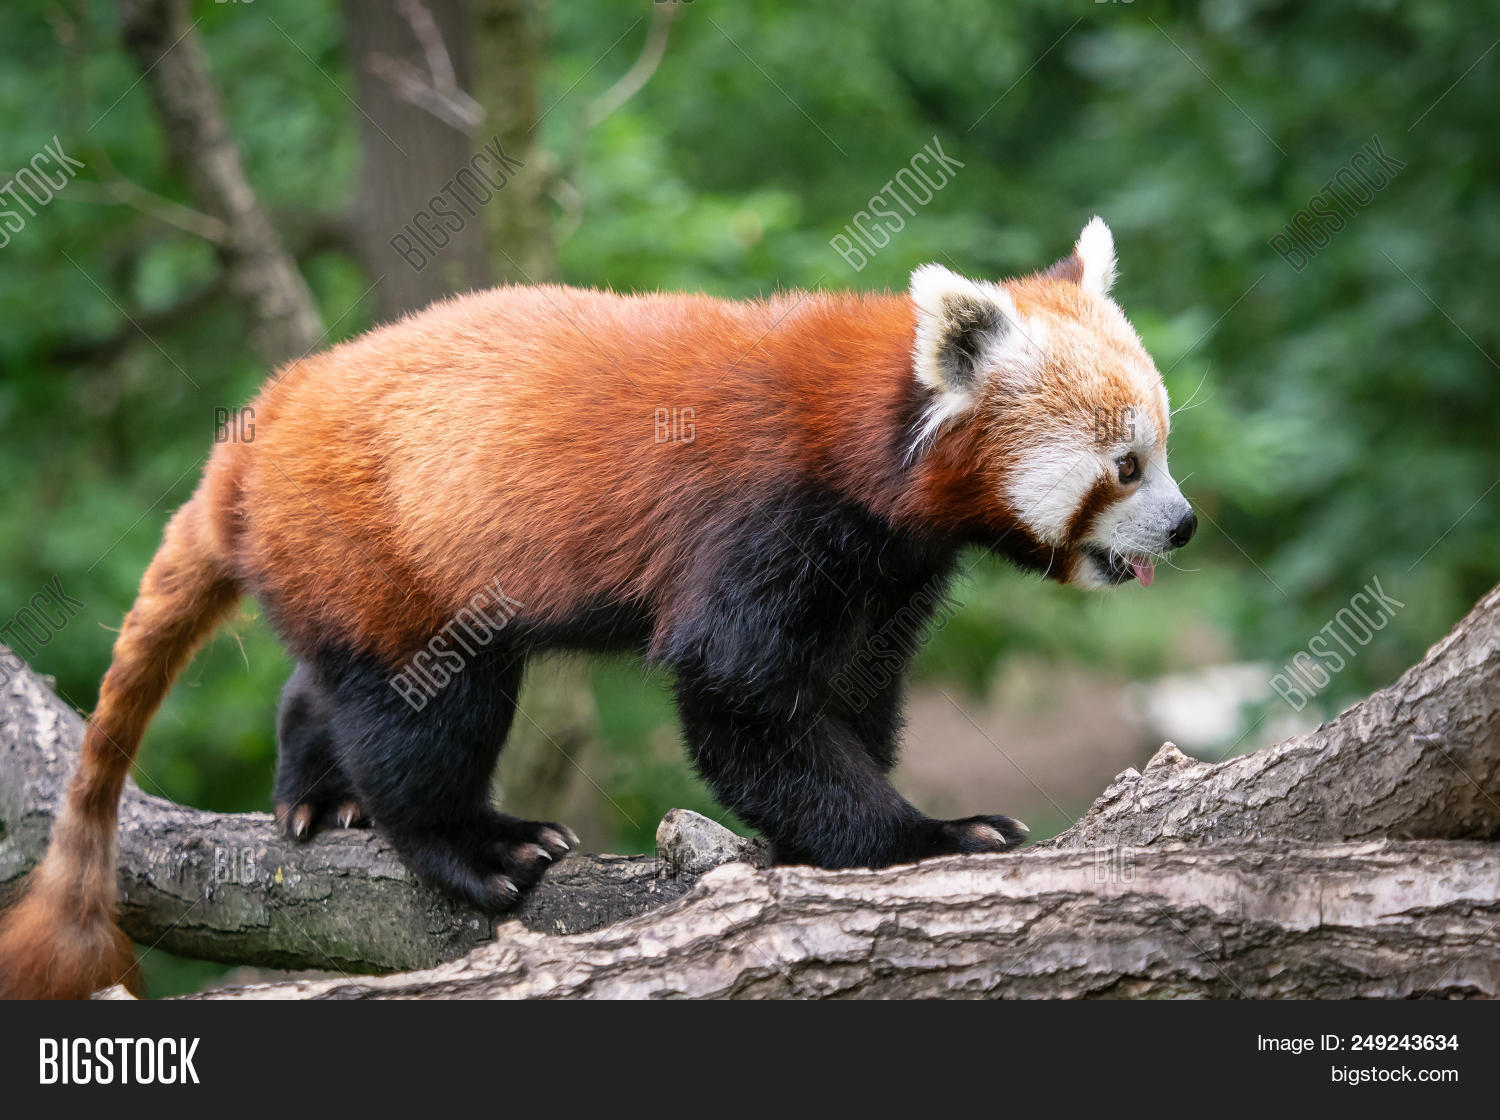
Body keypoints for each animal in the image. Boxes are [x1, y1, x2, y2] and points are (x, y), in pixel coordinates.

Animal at [0, 218, 1195, 998]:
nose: (1184, 526)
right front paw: (920, 838)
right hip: (398, 544)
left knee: (322, 676)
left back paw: (316, 793)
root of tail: (270, 415)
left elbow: (854, 692)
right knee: (421, 709)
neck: (872, 442)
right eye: (1127, 466)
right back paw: (468, 842)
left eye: (1163, 449)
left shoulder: (886, 570)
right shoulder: (764, 520)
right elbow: (739, 702)